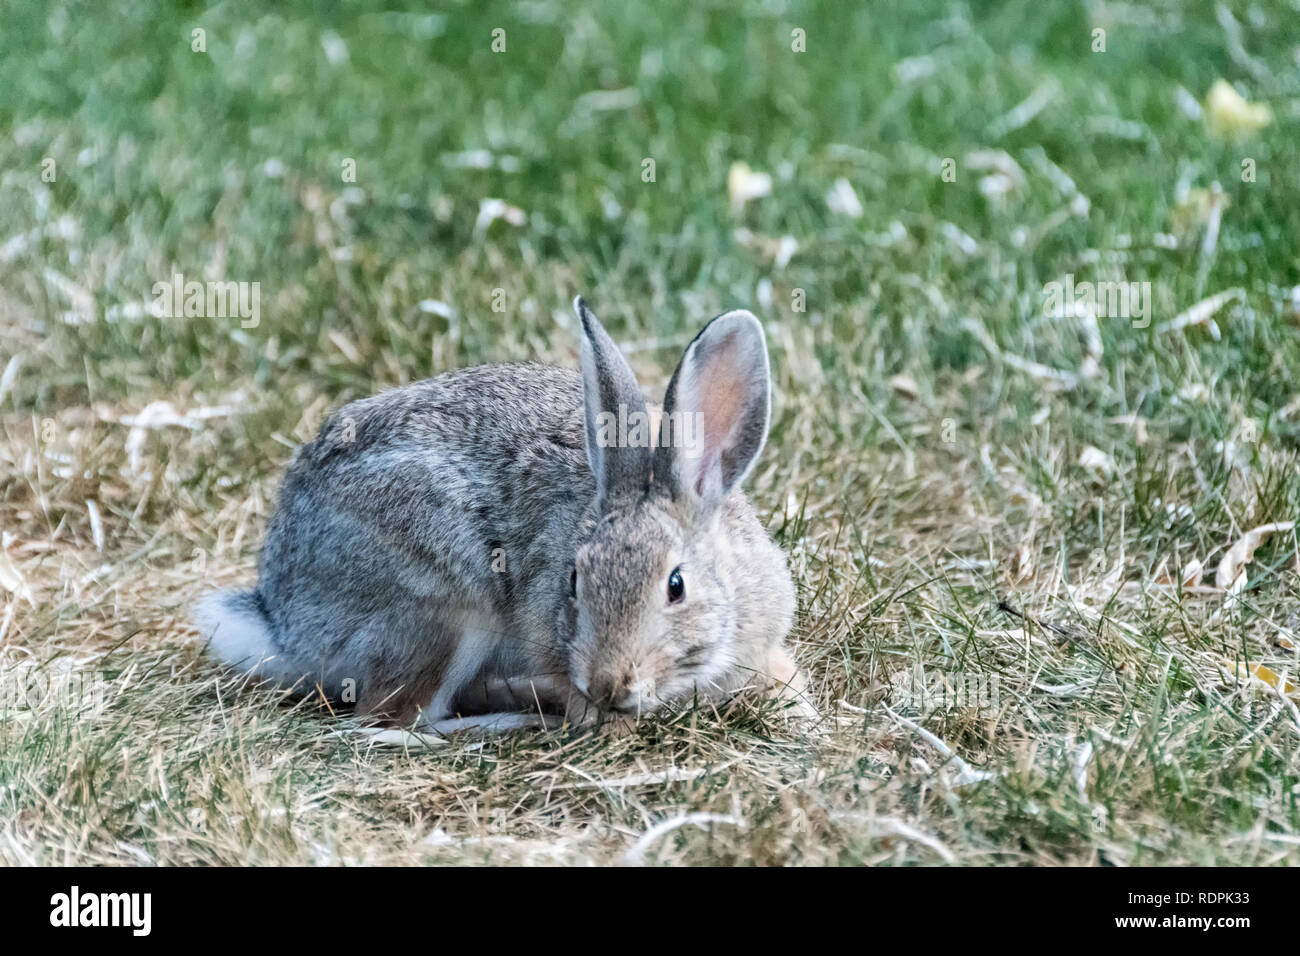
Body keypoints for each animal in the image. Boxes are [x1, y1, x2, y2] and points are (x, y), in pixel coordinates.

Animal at [193, 297, 809, 734]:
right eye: (573, 581)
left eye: (676, 587)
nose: (608, 684)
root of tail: (284, 626)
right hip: (445, 603)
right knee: (391, 723)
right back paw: (513, 715)